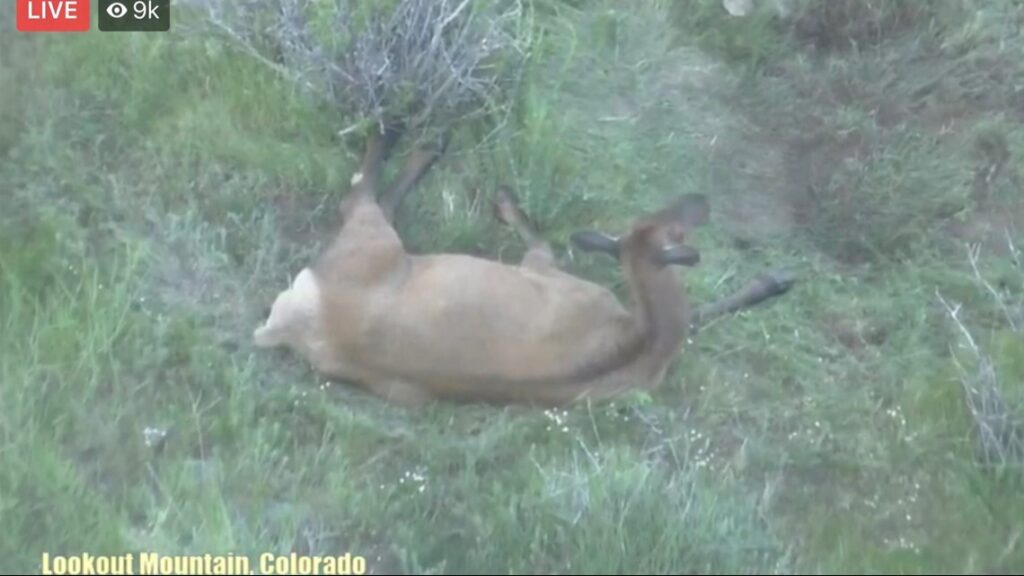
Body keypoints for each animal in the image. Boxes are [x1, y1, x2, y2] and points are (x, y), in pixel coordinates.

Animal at [253, 124, 793, 407]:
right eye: (668, 225)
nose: (699, 202)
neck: (643, 346)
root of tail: (287, 325)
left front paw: (775, 281)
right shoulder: (560, 276)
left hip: (374, 246)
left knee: (365, 199)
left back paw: (413, 139)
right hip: (375, 248)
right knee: (361, 196)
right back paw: (405, 134)